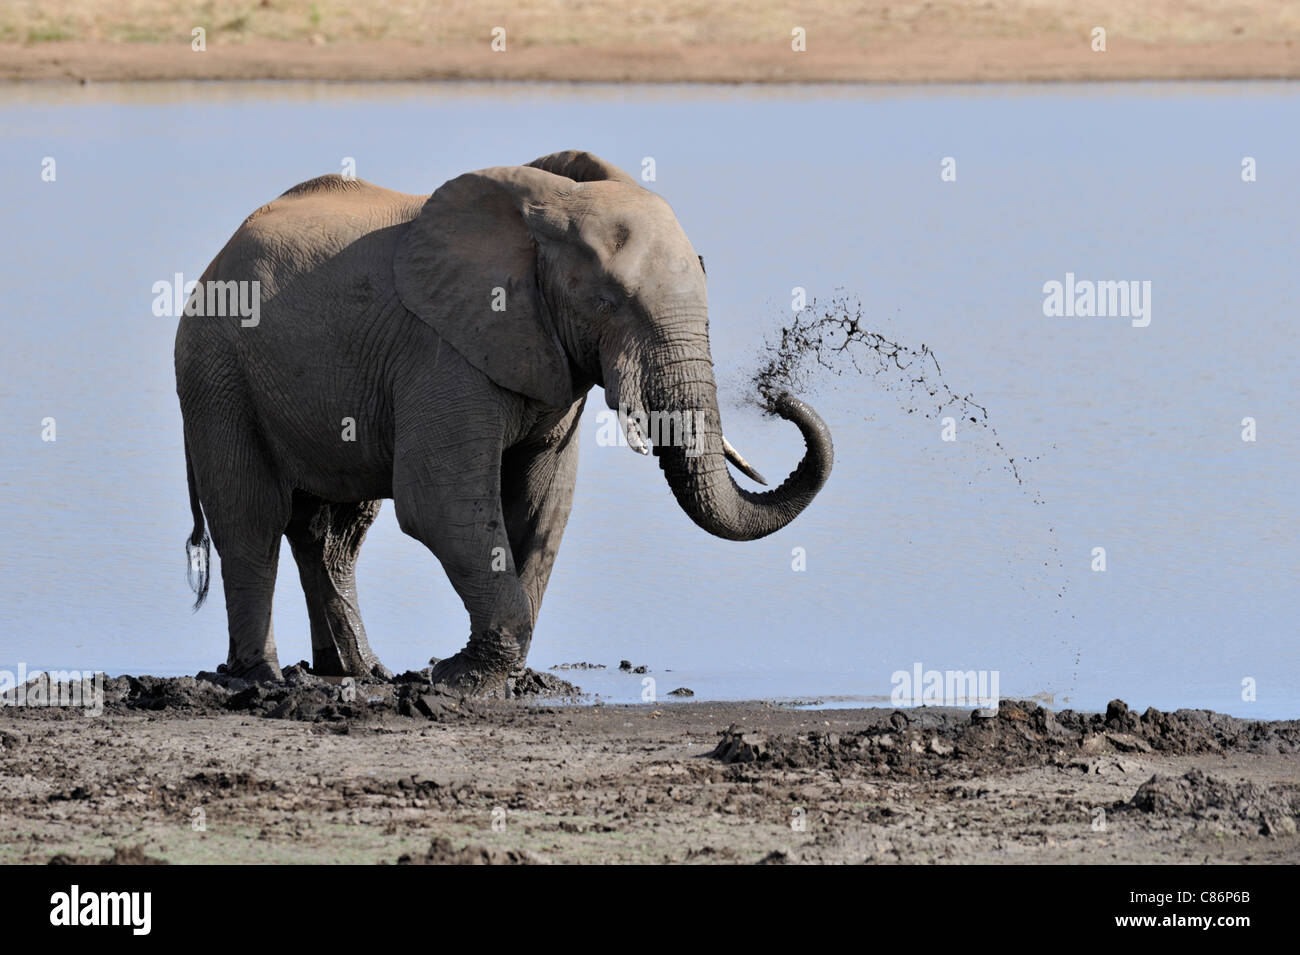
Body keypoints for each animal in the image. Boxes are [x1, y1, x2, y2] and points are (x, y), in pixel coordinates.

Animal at [175, 150, 833, 695]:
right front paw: (461, 679)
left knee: (334, 534)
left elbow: (542, 503)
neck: (546, 219)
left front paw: (491, 677)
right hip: (216, 373)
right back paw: (261, 680)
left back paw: (359, 672)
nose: (779, 397)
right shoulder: (443, 352)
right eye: (606, 303)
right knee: (252, 519)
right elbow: (440, 503)